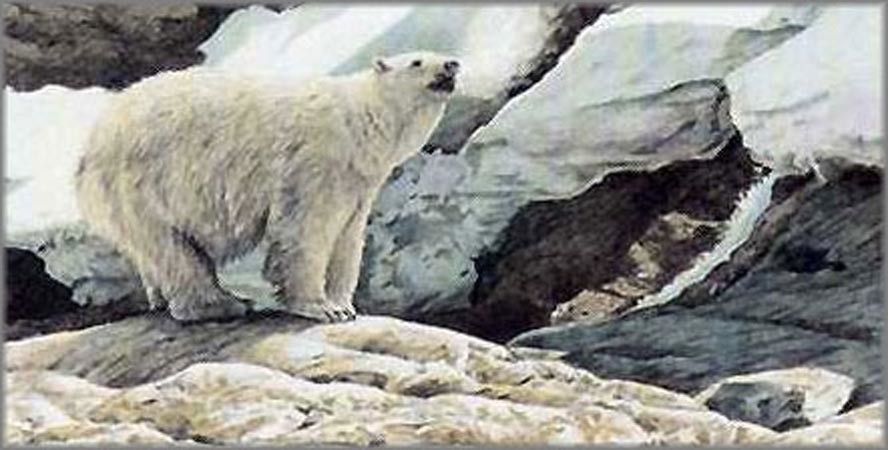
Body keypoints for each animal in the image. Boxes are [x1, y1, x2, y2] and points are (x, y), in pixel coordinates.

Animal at [74, 51, 460, 323]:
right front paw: (322, 308)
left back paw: (162, 297)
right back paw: (222, 304)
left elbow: (348, 239)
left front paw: (345, 305)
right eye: (417, 60)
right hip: (144, 186)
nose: (452, 65)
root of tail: (91, 143)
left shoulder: (359, 183)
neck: (360, 124)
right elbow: (304, 230)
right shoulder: (316, 163)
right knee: (174, 250)